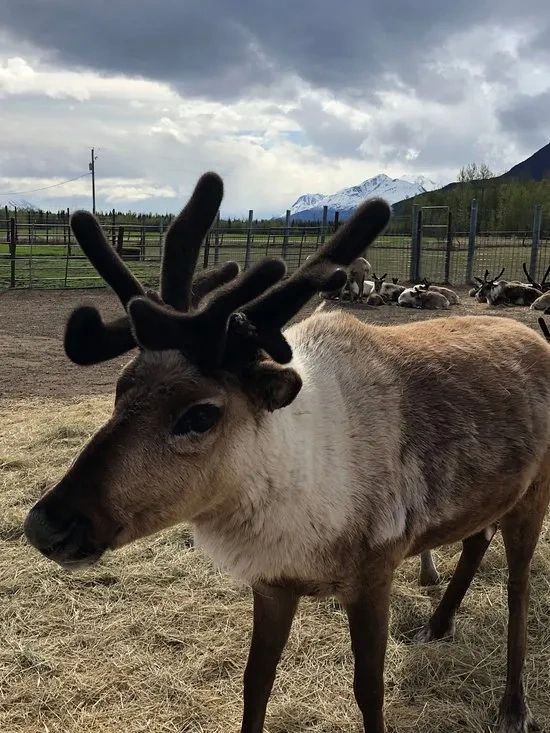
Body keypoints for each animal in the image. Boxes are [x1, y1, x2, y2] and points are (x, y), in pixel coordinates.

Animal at [24, 172, 550, 733]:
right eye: (120, 389)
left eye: (200, 415)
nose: (46, 526)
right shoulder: (274, 583)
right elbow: (256, 681)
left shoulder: (374, 574)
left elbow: (369, 690)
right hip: (490, 494)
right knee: (475, 541)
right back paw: (439, 623)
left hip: (534, 495)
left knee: (518, 588)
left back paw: (513, 703)